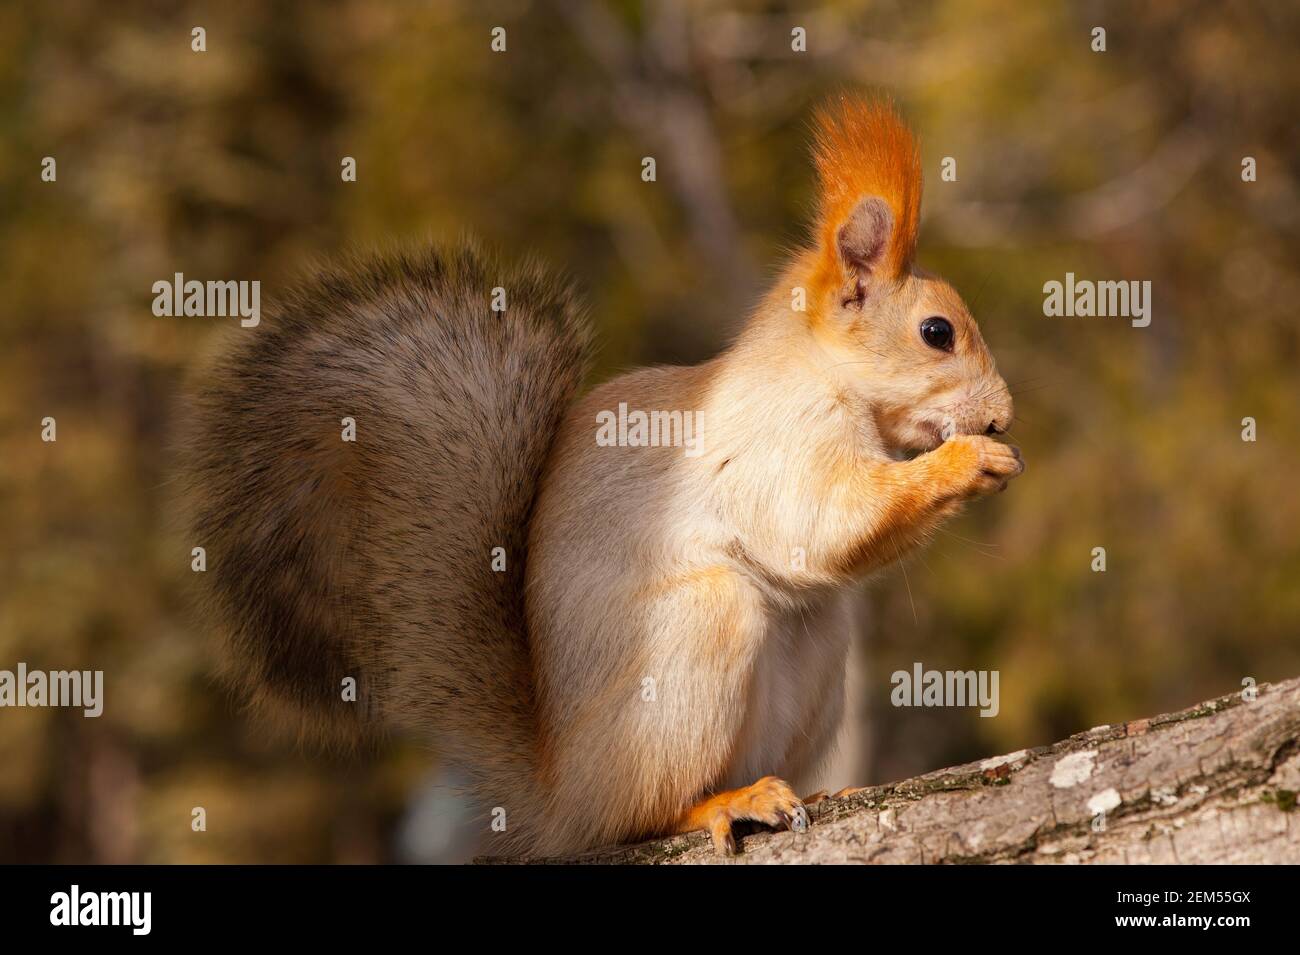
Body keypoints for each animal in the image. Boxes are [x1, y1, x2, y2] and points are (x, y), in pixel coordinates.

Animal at [185, 95, 1023, 858]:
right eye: (937, 333)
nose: (1003, 417)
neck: (818, 368)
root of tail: (562, 796)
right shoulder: (777, 442)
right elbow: (820, 524)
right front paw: (966, 462)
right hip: (699, 636)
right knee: (639, 814)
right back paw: (721, 802)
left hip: (816, 654)